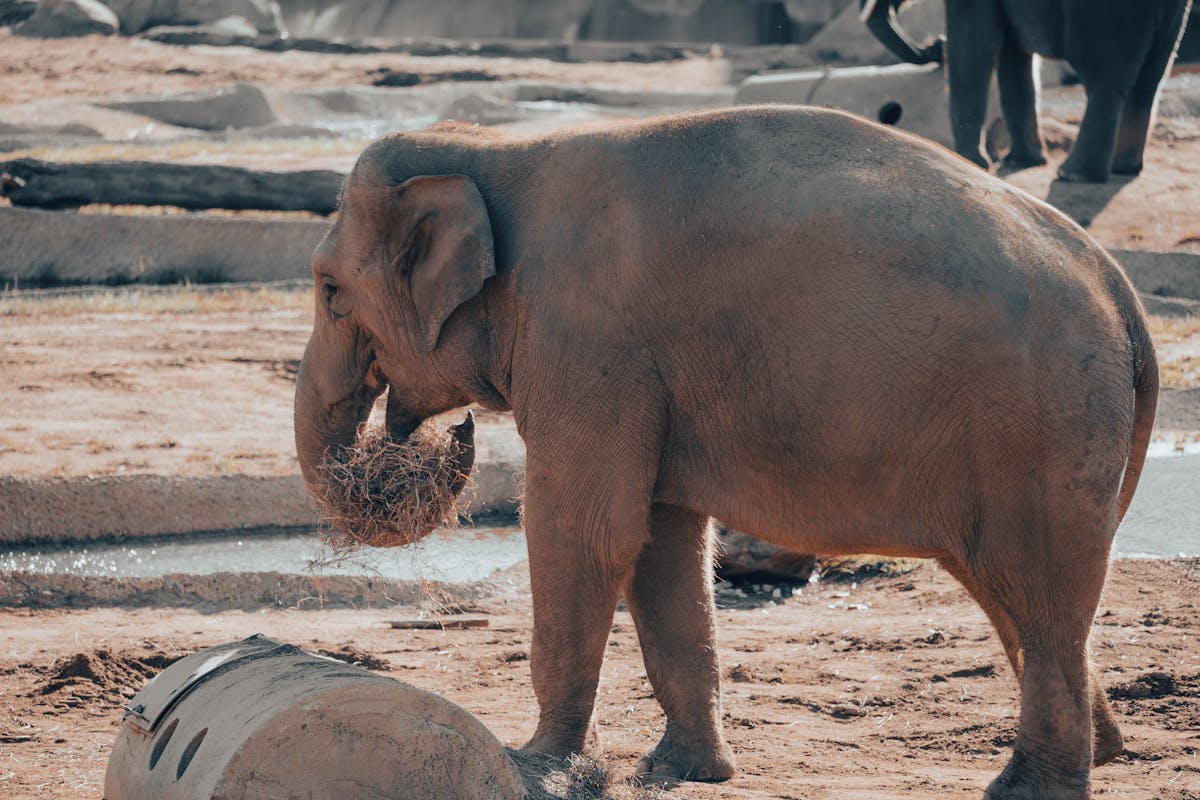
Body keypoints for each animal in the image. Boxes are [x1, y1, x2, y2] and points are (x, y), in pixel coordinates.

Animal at [293, 106, 1158, 798]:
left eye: (330, 290)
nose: (453, 432)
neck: (499, 148)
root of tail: (1121, 292)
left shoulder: (590, 343)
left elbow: (585, 533)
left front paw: (539, 765)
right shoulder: (643, 372)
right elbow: (660, 542)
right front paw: (679, 771)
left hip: (1040, 425)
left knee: (1036, 589)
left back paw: (1029, 787)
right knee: (1018, 594)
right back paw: (1107, 752)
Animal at [861, 0, 1193, 182]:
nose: (933, 46)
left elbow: (976, 45)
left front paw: (971, 161)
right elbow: (1012, 55)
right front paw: (1020, 162)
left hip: (1108, 16)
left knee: (1105, 83)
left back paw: (1072, 174)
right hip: (1173, 18)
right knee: (1148, 83)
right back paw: (1124, 168)